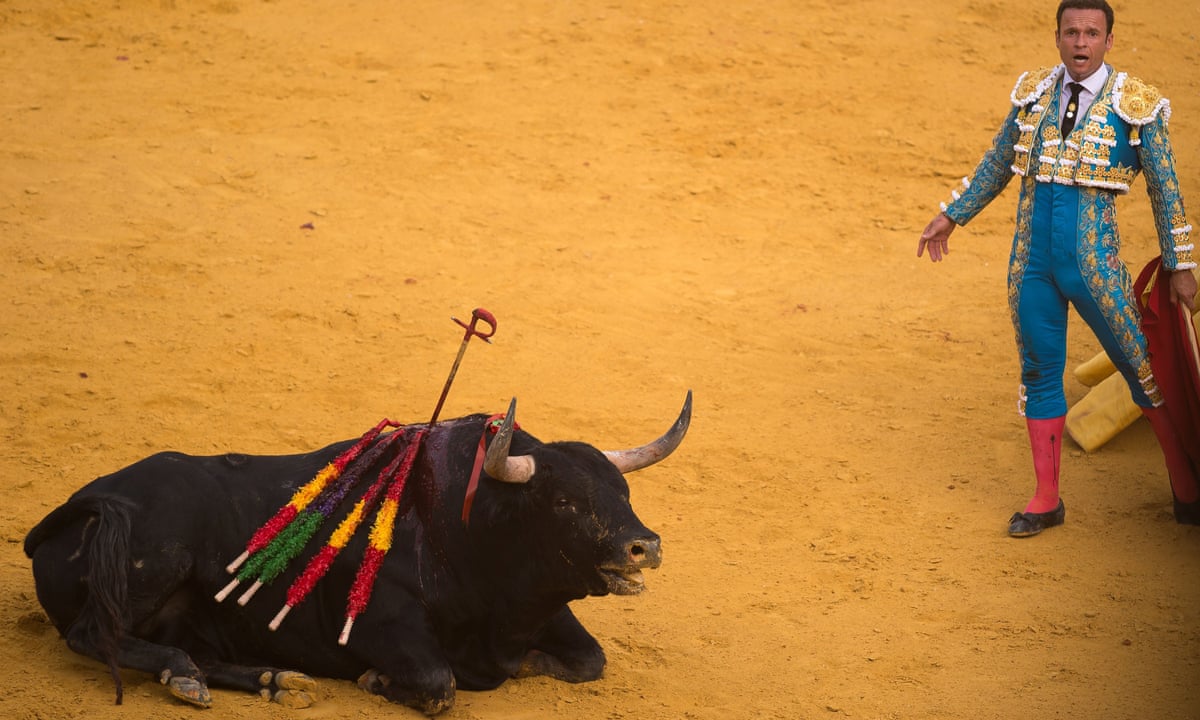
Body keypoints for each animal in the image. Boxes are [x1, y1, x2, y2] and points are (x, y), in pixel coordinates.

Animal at [24, 392, 691, 715]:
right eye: (564, 502)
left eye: (624, 490)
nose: (644, 547)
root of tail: (89, 503)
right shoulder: (384, 623)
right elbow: (438, 683)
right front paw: (376, 680)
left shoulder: (546, 611)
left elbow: (590, 660)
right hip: (156, 559)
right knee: (95, 634)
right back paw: (186, 675)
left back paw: (272, 680)